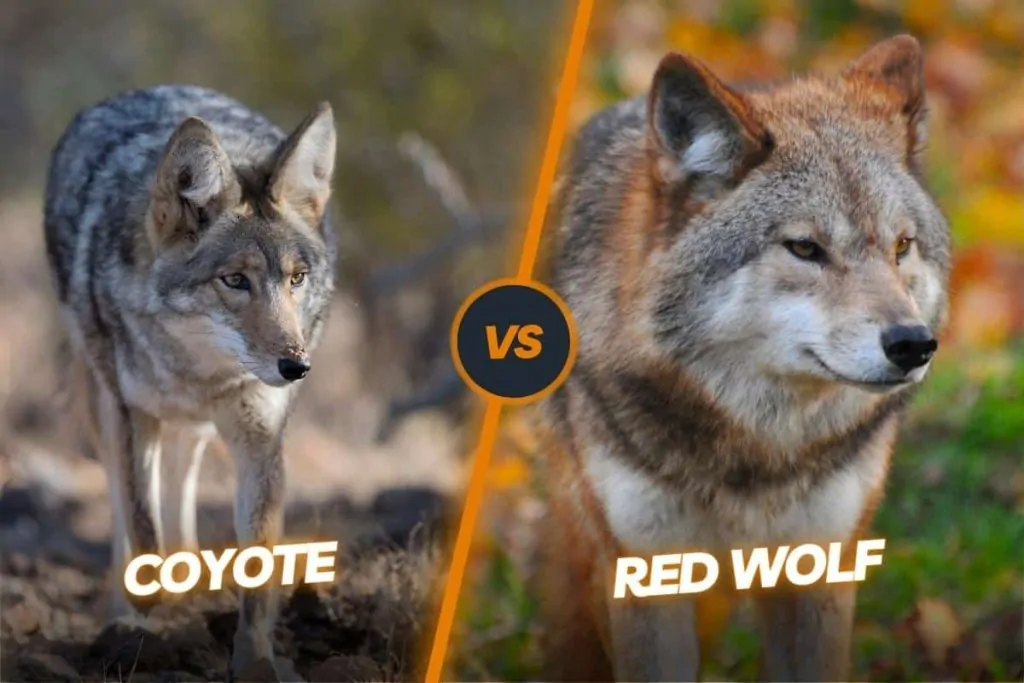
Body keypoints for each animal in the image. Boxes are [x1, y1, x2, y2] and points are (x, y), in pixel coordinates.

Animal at [44, 84, 338, 680]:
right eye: (235, 280)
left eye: (296, 279)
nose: (295, 367)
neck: (200, 372)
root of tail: (147, 91)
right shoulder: (132, 416)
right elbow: (141, 527)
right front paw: (138, 624)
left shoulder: (259, 438)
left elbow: (260, 569)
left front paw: (256, 663)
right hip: (102, 406)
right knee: (122, 505)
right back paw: (128, 606)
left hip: (194, 430)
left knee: (182, 478)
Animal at [531, 35, 950, 682]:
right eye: (805, 248)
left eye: (901, 246)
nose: (912, 343)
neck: (758, 455)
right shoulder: (642, 575)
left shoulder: (820, 570)